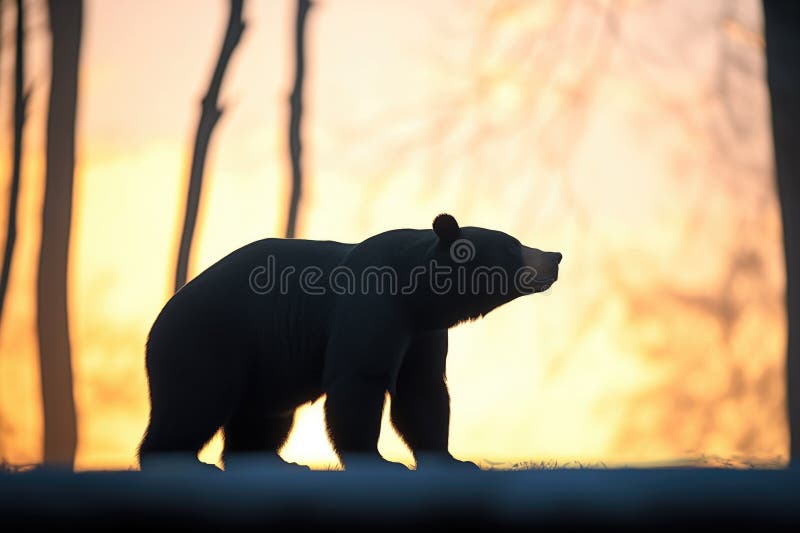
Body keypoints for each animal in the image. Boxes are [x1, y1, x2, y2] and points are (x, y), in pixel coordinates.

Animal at [138, 214, 561, 470]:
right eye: (513, 245)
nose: (555, 255)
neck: (417, 294)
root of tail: (158, 319)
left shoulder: (422, 333)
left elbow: (422, 392)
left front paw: (452, 459)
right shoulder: (372, 307)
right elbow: (360, 380)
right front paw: (379, 459)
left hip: (266, 363)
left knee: (264, 414)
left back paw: (276, 461)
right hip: (211, 339)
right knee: (194, 401)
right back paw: (178, 459)